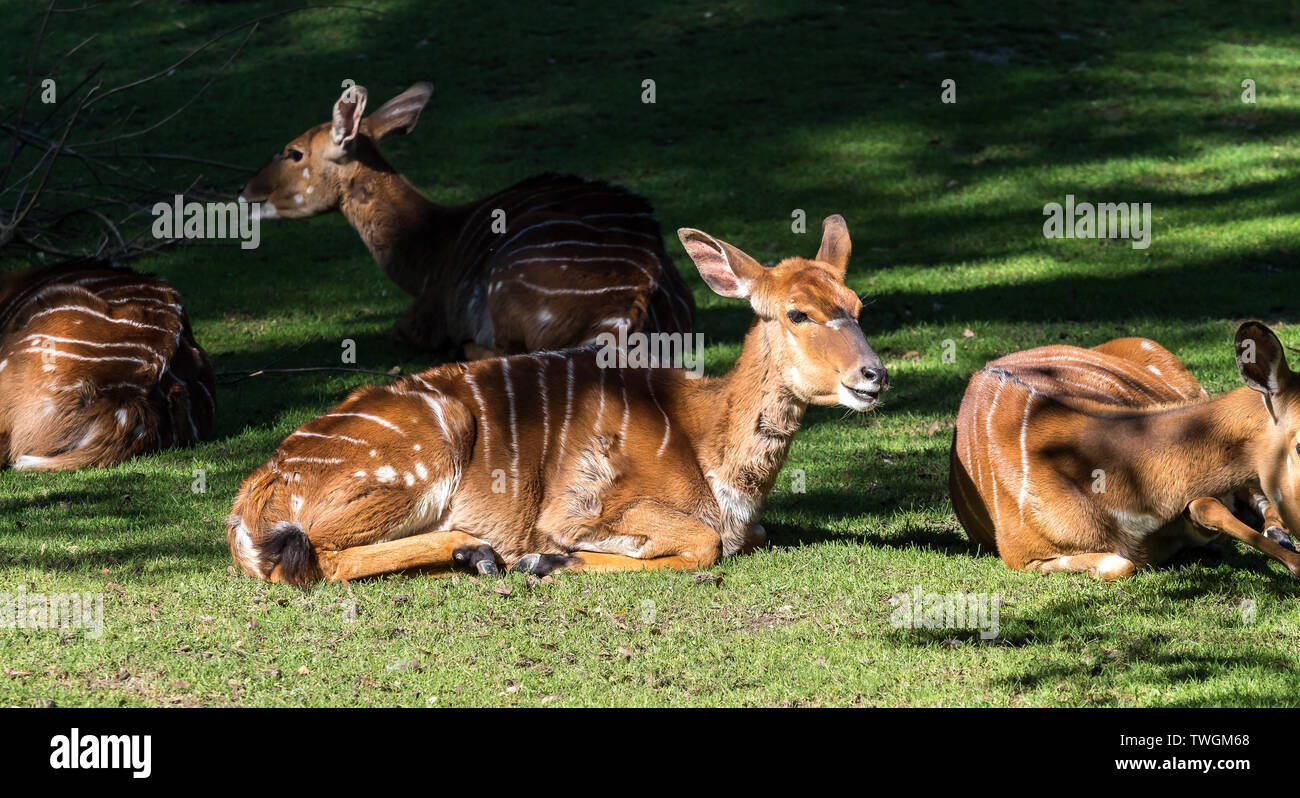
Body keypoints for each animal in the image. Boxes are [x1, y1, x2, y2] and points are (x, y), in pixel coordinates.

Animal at [226, 216, 888, 584]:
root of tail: (249, 504)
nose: (874, 375)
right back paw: (485, 552)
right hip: (424, 454)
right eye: (797, 313)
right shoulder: (579, 505)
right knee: (323, 554)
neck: (709, 450)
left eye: (857, 306)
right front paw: (550, 561)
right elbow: (702, 544)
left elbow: (741, 538)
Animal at [237, 82, 695, 357]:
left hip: (505, 285)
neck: (428, 250)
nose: (245, 191)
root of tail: (629, 314)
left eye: (294, 152)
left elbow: (401, 330)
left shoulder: (428, 311)